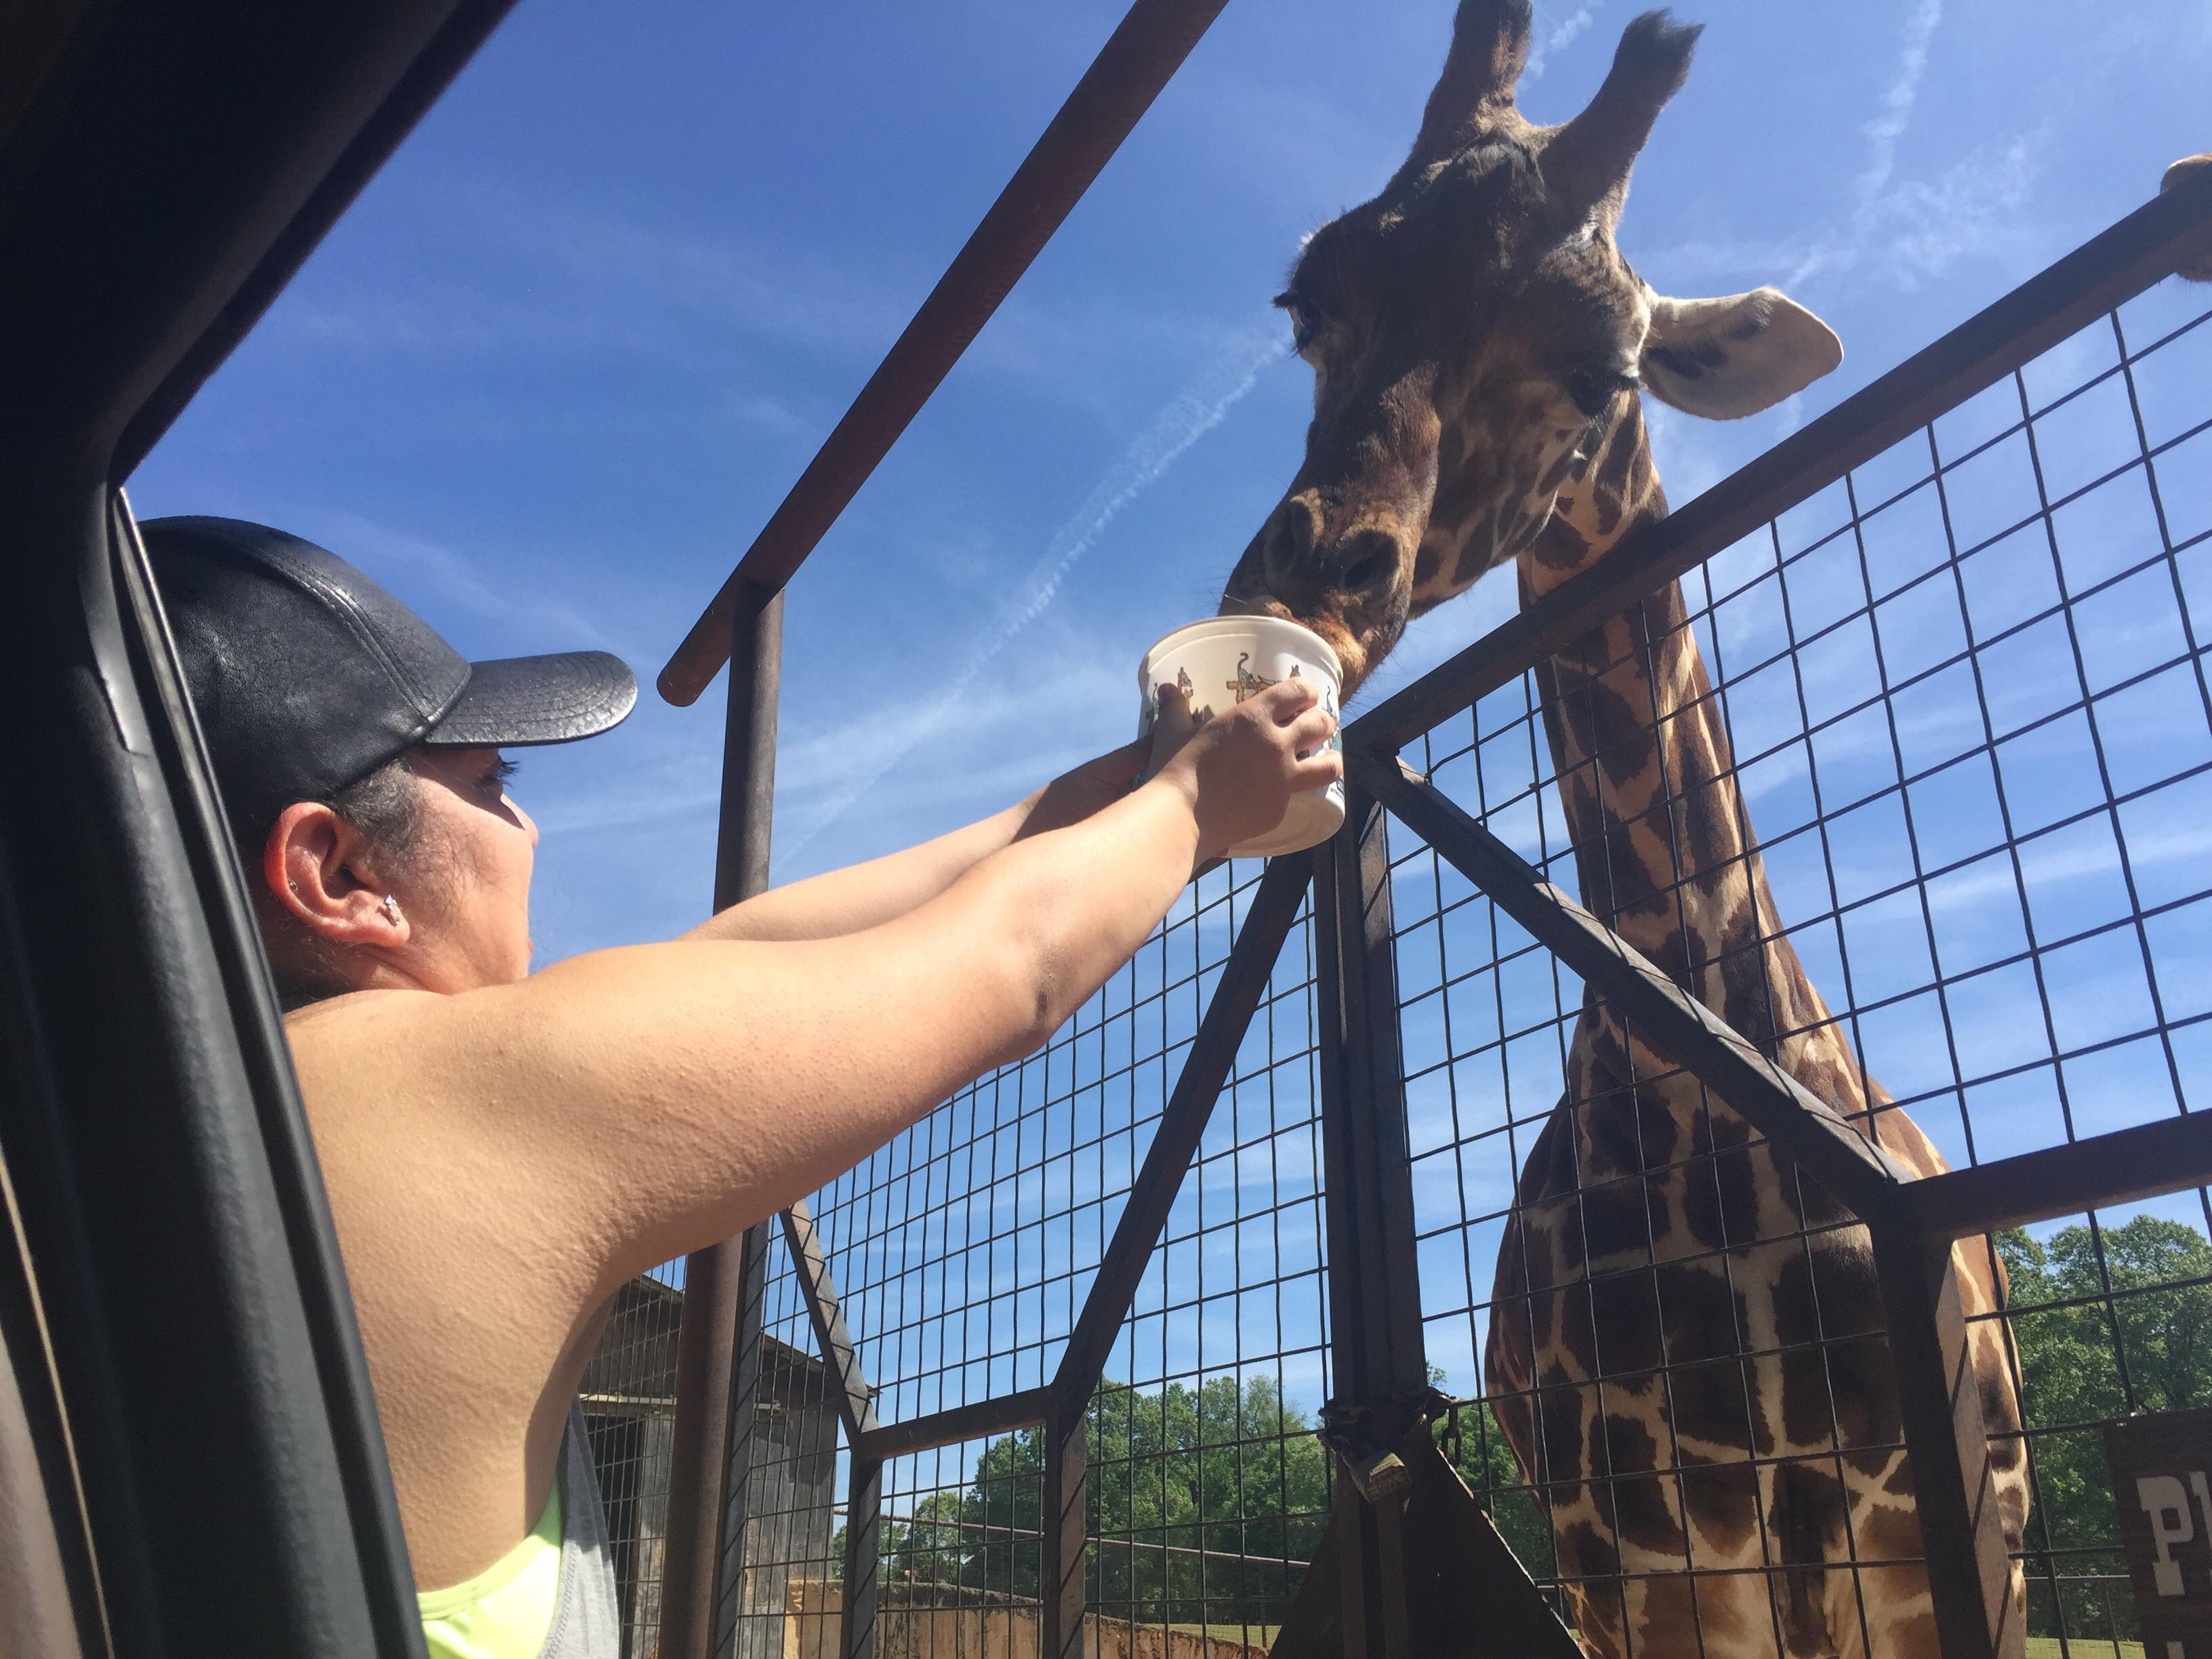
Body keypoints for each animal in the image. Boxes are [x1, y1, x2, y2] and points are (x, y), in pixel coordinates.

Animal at [1215, 7, 2057, 1654]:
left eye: (1605, 368)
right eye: (1308, 300)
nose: (1315, 584)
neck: (1691, 1091)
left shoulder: (1900, 1525)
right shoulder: (1626, 1547)